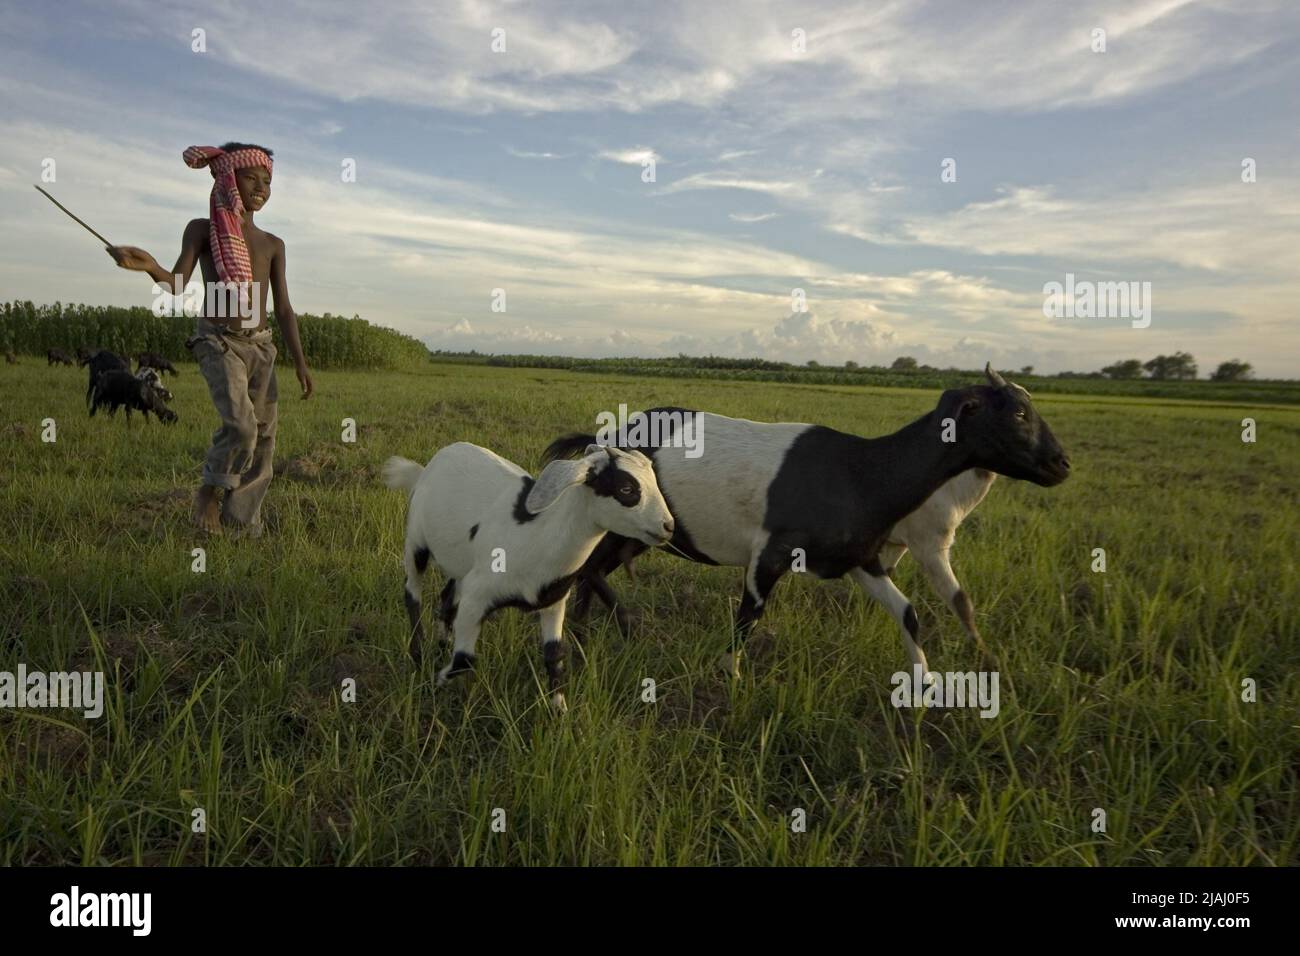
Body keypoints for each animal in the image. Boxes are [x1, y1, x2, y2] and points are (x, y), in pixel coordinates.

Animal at [383, 442, 674, 712]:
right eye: (626, 489)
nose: (668, 526)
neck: (538, 535)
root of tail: (425, 468)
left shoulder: (554, 603)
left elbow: (554, 655)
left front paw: (558, 711)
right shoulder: (477, 596)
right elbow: (465, 658)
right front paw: (439, 679)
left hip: (460, 567)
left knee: (445, 600)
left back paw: (441, 644)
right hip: (416, 542)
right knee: (412, 595)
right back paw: (418, 655)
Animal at [542, 364, 1070, 677]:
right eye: (1019, 413)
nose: (1062, 464)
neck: (861, 473)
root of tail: (605, 437)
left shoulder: (861, 559)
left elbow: (909, 612)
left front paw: (924, 683)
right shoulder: (771, 552)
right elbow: (747, 616)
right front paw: (729, 677)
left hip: (637, 534)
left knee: (592, 575)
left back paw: (589, 633)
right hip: (621, 527)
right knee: (588, 571)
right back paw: (626, 626)